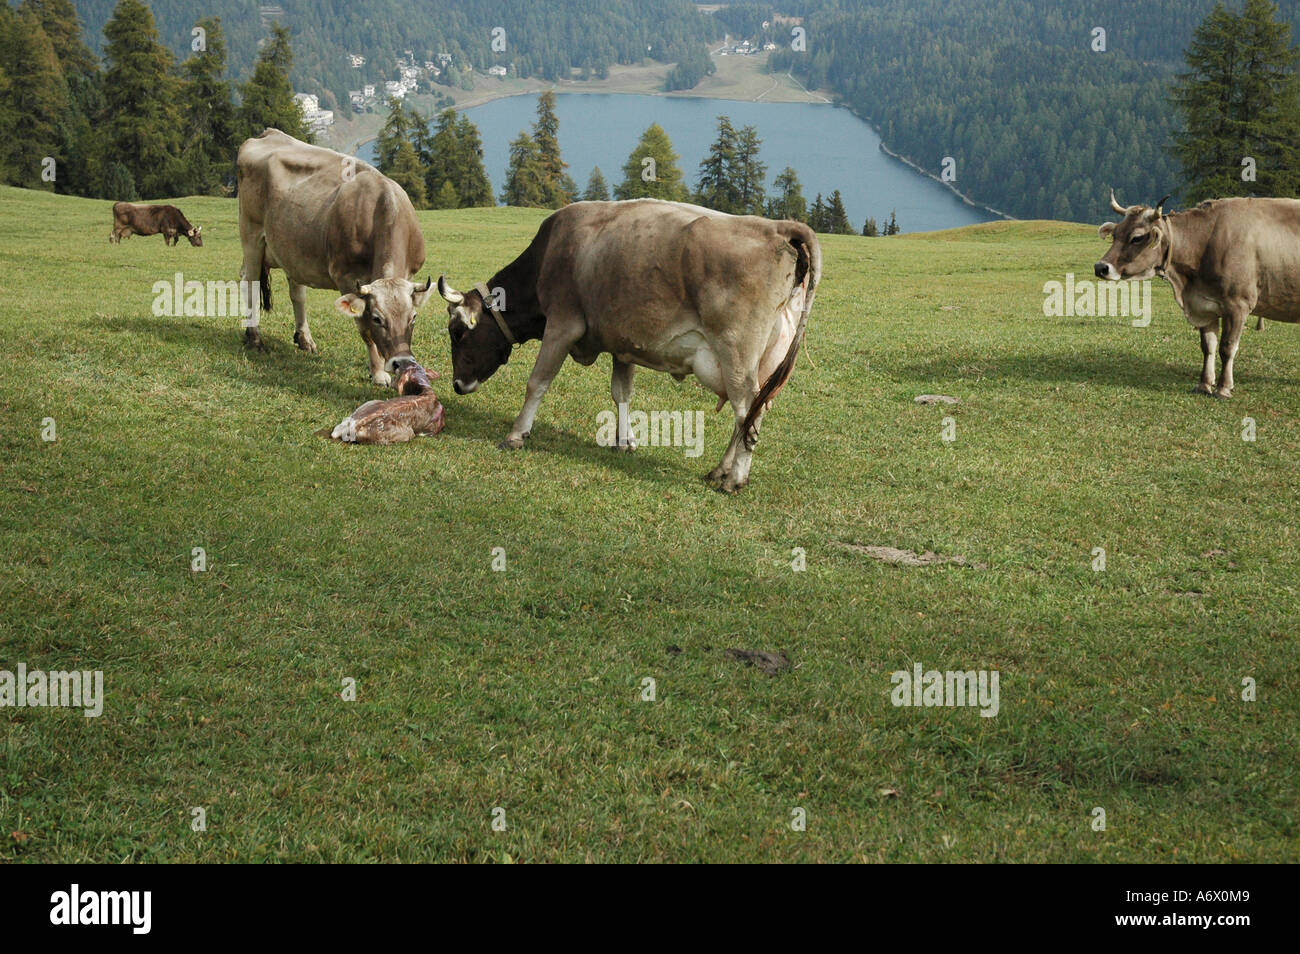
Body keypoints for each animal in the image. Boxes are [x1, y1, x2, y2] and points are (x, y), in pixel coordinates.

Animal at [236, 128, 432, 387]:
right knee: (249, 283)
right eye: (378, 319)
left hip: (293, 248)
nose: (401, 362)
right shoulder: (346, 277)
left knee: (297, 293)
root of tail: (269, 133)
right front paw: (378, 372)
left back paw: (304, 339)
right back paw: (254, 337)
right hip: (251, 235)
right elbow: (365, 331)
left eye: (413, 317)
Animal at [436, 199, 820, 492]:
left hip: (736, 352)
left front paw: (516, 434)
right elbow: (621, 393)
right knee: (753, 411)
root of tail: (780, 227)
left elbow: (537, 382)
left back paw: (735, 478)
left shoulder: (563, 324)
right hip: (763, 359)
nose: (457, 384)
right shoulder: (623, 343)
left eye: (457, 333)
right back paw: (720, 470)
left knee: (746, 409)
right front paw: (625, 440)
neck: (550, 254)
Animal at [1096, 190, 1300, 398]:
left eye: (1137, 238)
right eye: (1115, 234)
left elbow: (1227, 347)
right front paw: (1204, 384)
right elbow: (1208, 346)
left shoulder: (1238, 305)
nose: (1100, 267)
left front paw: (1223, 387)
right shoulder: (1204, 305)